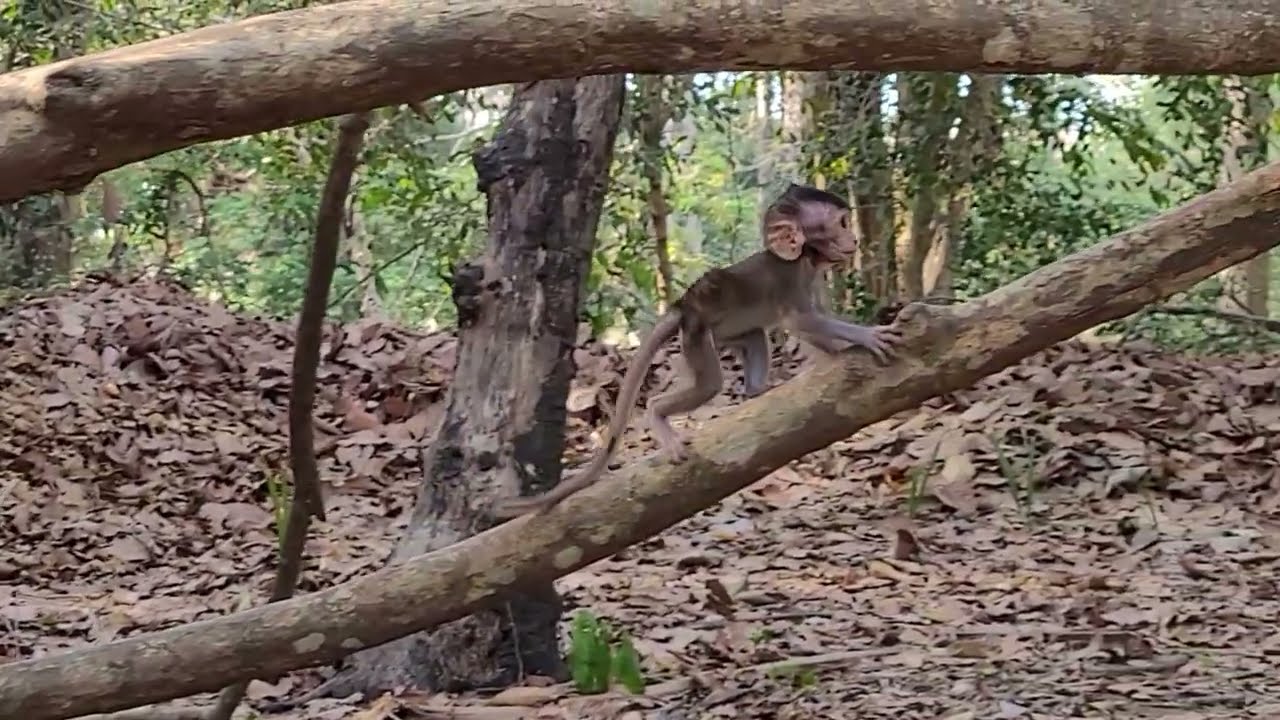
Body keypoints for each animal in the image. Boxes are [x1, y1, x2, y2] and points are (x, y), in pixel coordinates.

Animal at [491, 183, 904, 519]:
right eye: (841, 223)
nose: (853, 240)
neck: (802, 256)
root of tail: (684, 305)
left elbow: (812, 327)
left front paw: (837, 351)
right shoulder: (791, 277)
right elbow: (803, 321)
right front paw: (868, 336)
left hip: (724, 334)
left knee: (754, 337)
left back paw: (757, 390)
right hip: (697, 335)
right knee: (707, 386)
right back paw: (660, 415)